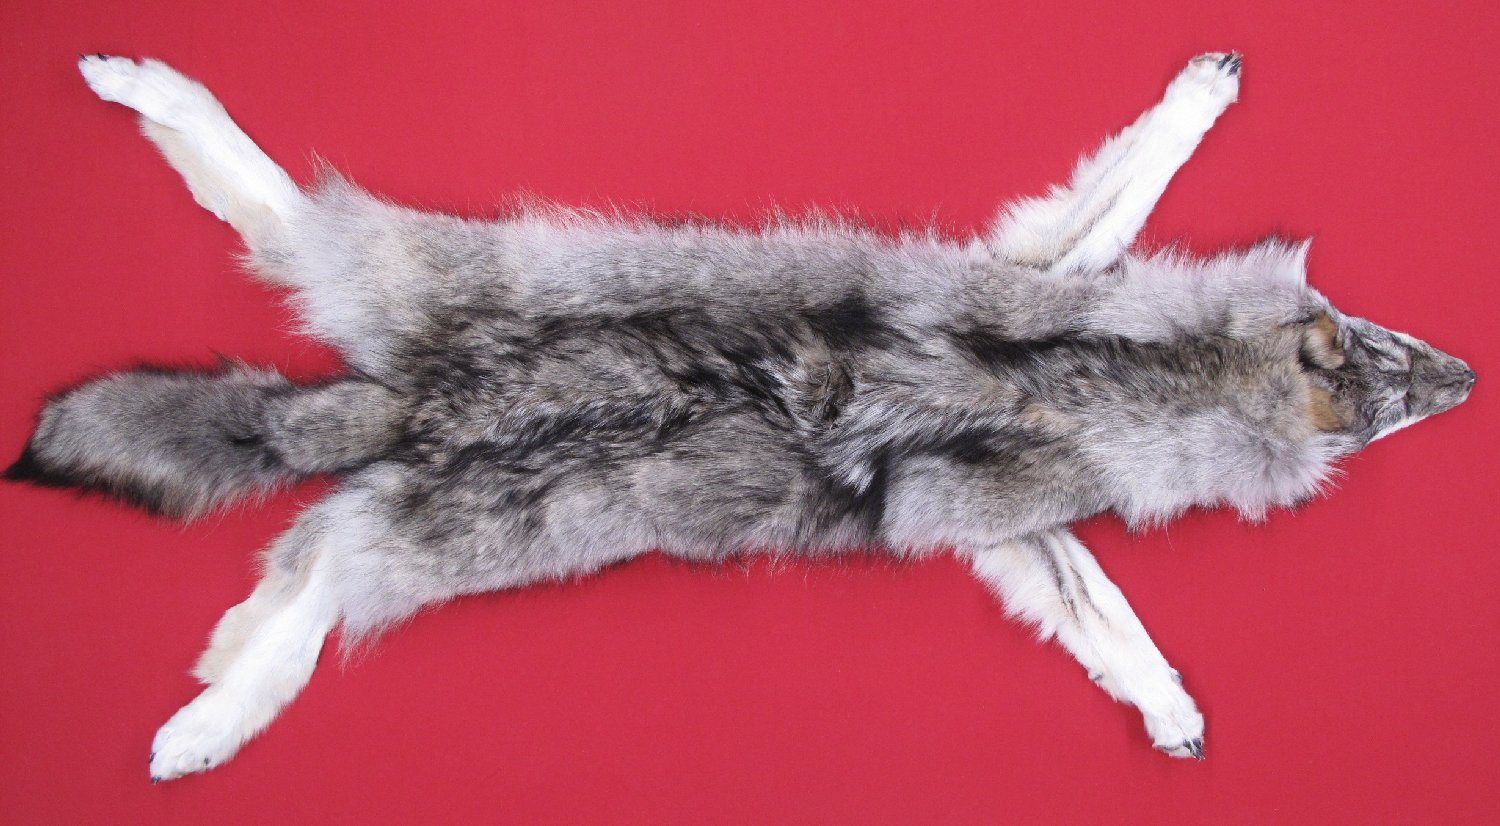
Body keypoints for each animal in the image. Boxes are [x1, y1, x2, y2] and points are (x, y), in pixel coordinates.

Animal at [5, 52, 1474, 781]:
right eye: (1385, 385)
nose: (1467, 380)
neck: (1136, 381)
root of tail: (393, 410)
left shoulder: (1014, 516)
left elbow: (1104, 624)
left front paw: (1162, 709)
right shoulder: (1048, 283)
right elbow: (1142, 167)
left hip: (408, 470)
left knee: (289, 577)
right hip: (406, 382)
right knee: (302, 599)